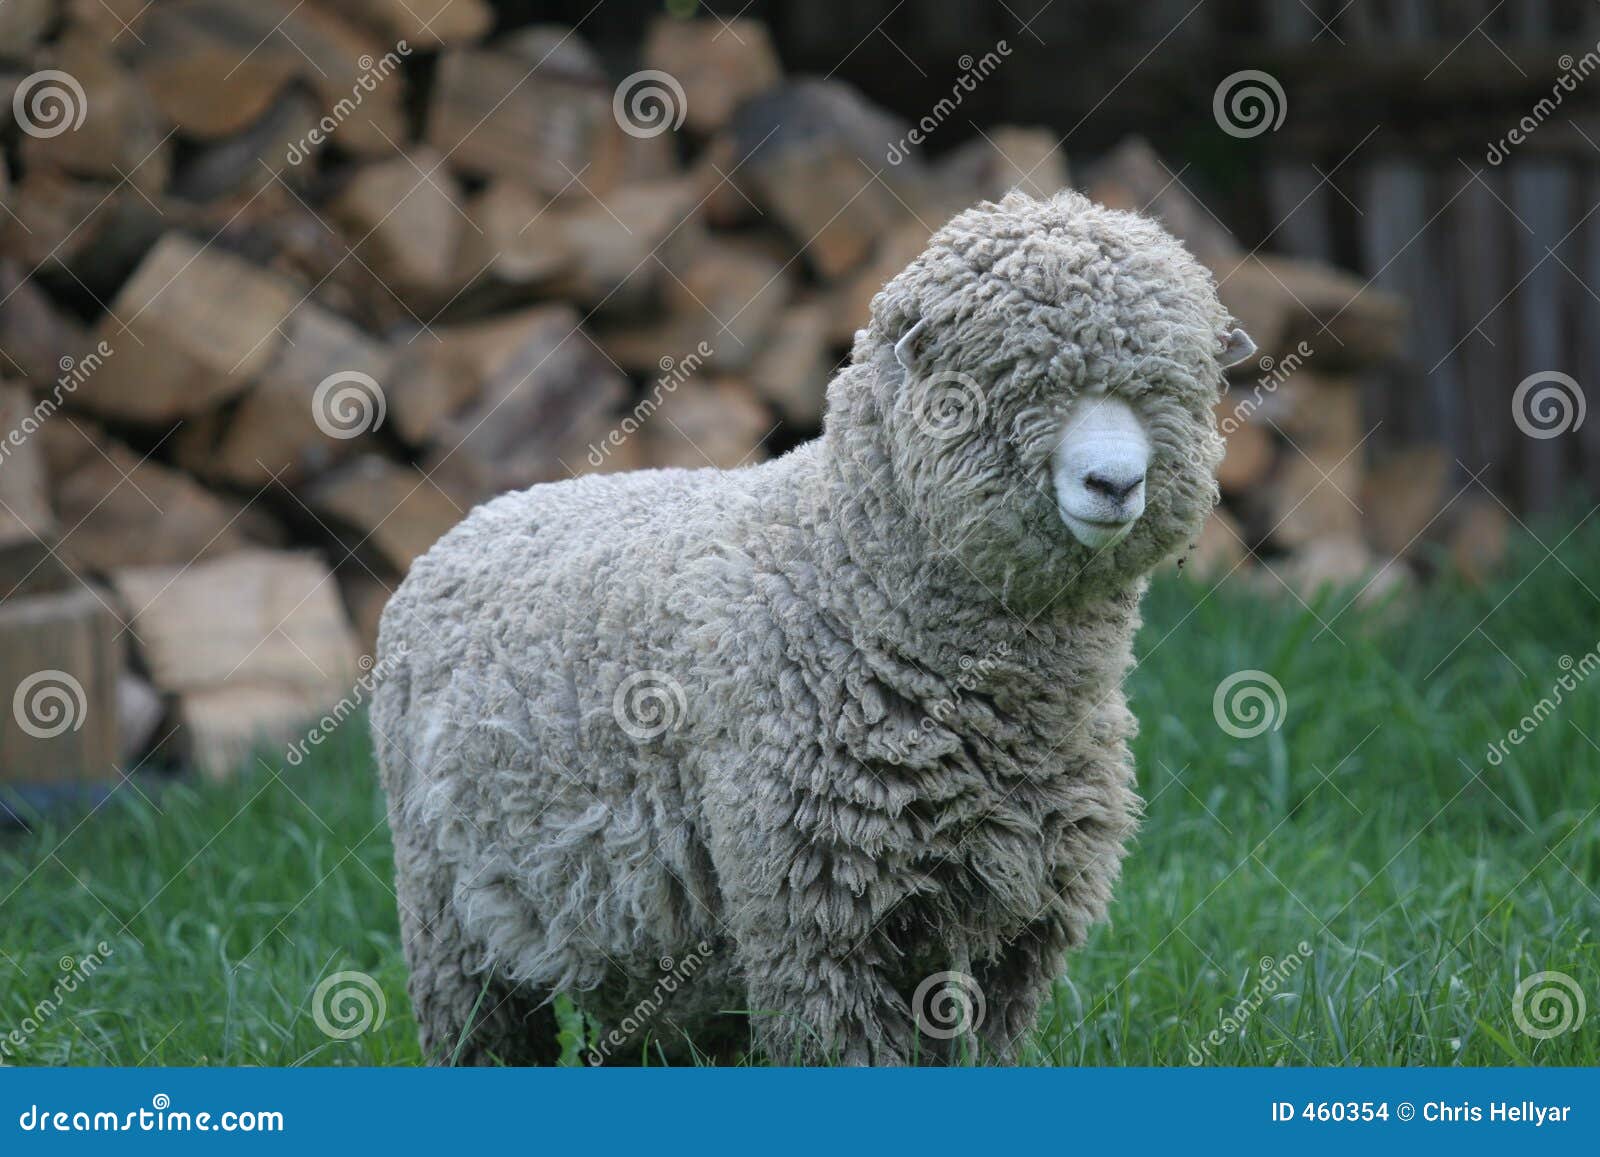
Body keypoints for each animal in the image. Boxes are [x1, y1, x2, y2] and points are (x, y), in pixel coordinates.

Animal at [371, 188, 1255, 1066]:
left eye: (1170, 387)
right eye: (1014, 382)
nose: (1115, 482)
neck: (837, 572)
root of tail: (489, 512)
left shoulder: (1019, 917)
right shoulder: (816, 912)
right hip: (445, 914)